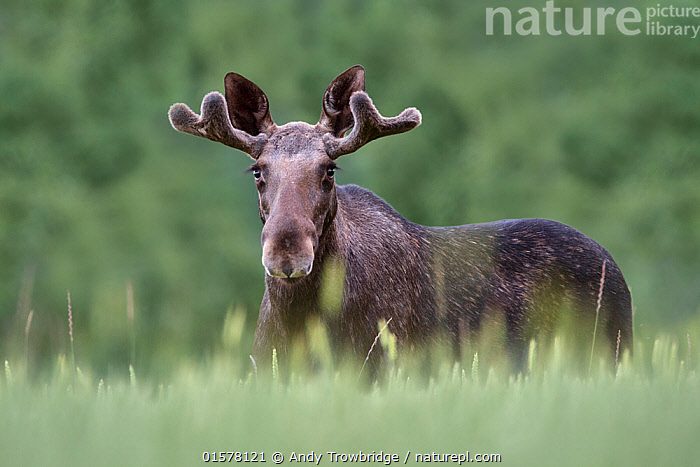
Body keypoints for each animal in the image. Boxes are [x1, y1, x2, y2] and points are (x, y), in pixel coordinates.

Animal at [169, 65, 633, 376]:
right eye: (257, 170)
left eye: (329, 169)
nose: (286, 252)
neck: (302, 321)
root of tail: (616, 270)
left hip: (611, 352)